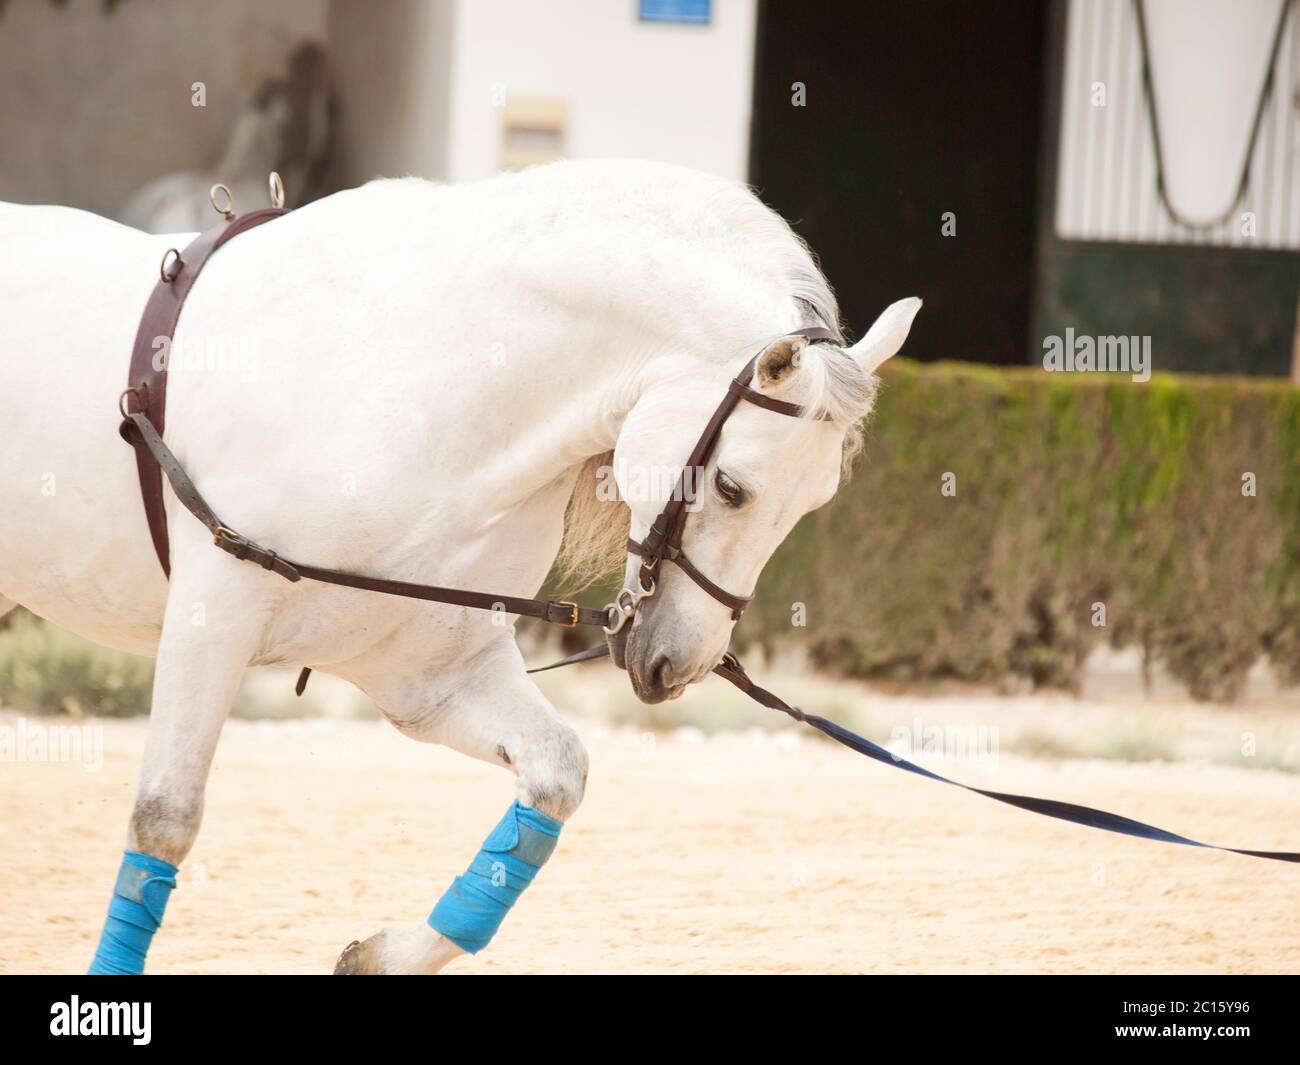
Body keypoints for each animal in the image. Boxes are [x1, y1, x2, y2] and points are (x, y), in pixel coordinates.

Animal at [0, 158, 920, 973]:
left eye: (816, 502)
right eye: (730, 486)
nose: (680, 663)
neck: (419, 381)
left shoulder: (428, 673)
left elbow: (557, 777)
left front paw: (378, 955)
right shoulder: (210, 624)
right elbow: (165, 819)